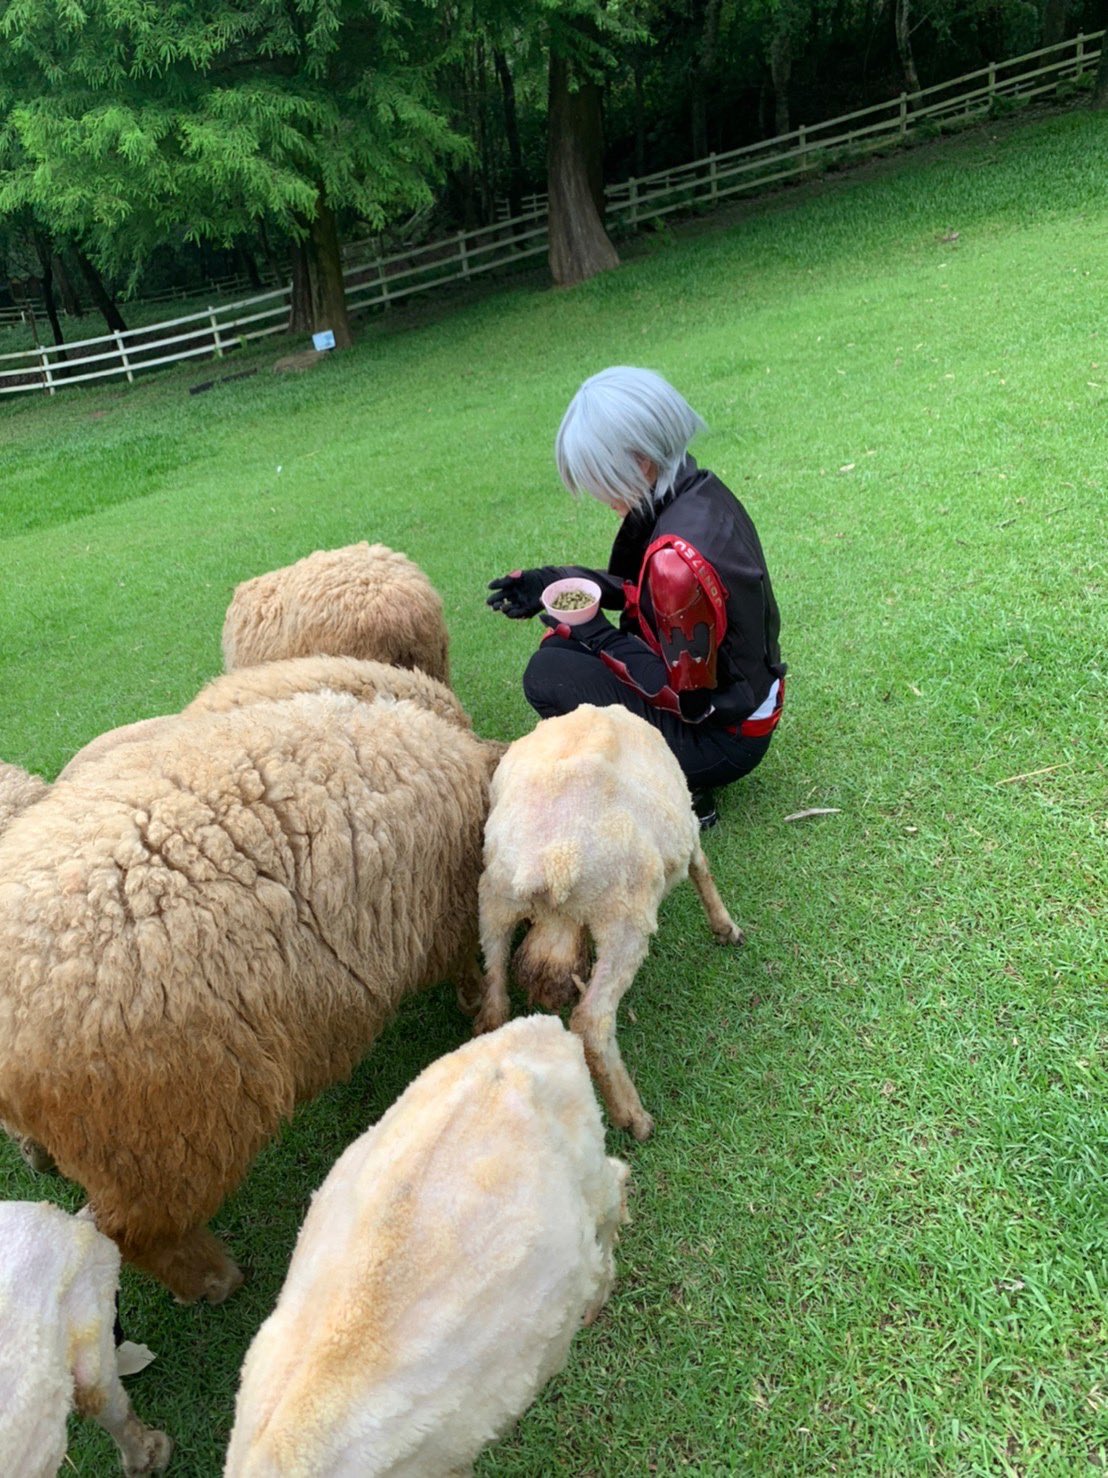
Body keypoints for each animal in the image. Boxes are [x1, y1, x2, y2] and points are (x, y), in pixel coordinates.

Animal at [0, 690, 500, 1303]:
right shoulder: (443, 912)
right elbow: (463, 960)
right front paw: (474, 999)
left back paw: (37, 1154)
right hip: (165, 1135)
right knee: (137, 1233)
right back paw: (213, 1281)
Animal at [475, 704, 744, 1142]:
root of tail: (549, 860)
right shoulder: (689, 829)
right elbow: (702, 870)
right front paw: (726, 928)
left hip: (493, 905)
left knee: (495, 1004)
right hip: (625, 920)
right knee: (591, 1020)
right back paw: (633, 1117)